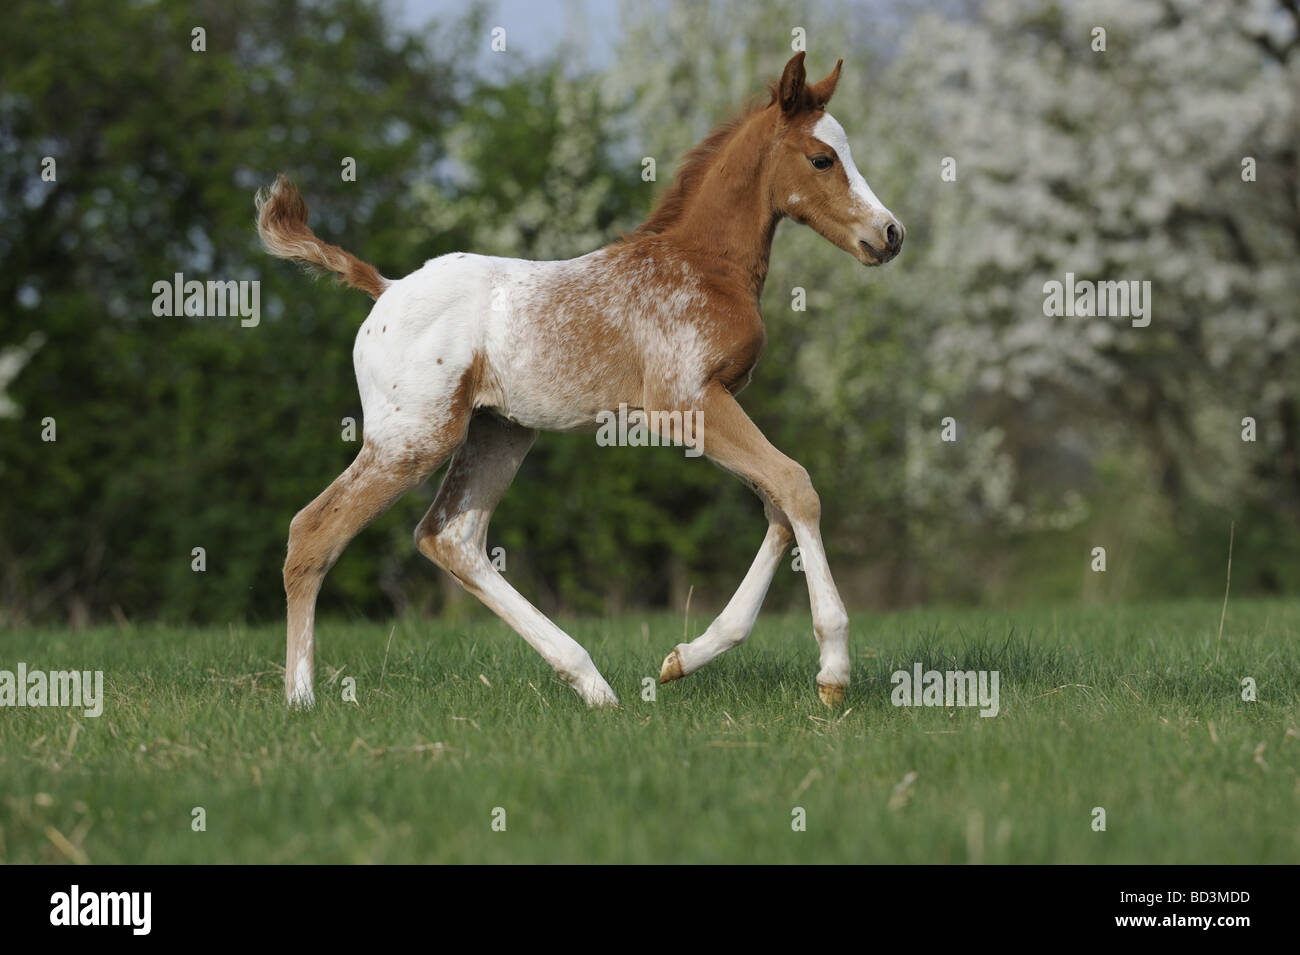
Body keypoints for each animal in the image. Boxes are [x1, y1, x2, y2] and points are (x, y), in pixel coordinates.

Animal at [255, 51, 903, 709]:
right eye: (822, 159)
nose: (890, 234)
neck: (705, 266)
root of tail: (384, 288)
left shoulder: (710, 407)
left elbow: (776, 505)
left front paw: (687, 657)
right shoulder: (684, 402)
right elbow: (797, 486)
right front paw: (833, 670)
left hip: (498, 432)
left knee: (451, 537)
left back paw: (591, 683)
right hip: (412, 438)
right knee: (313, 532)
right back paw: (300, 700)